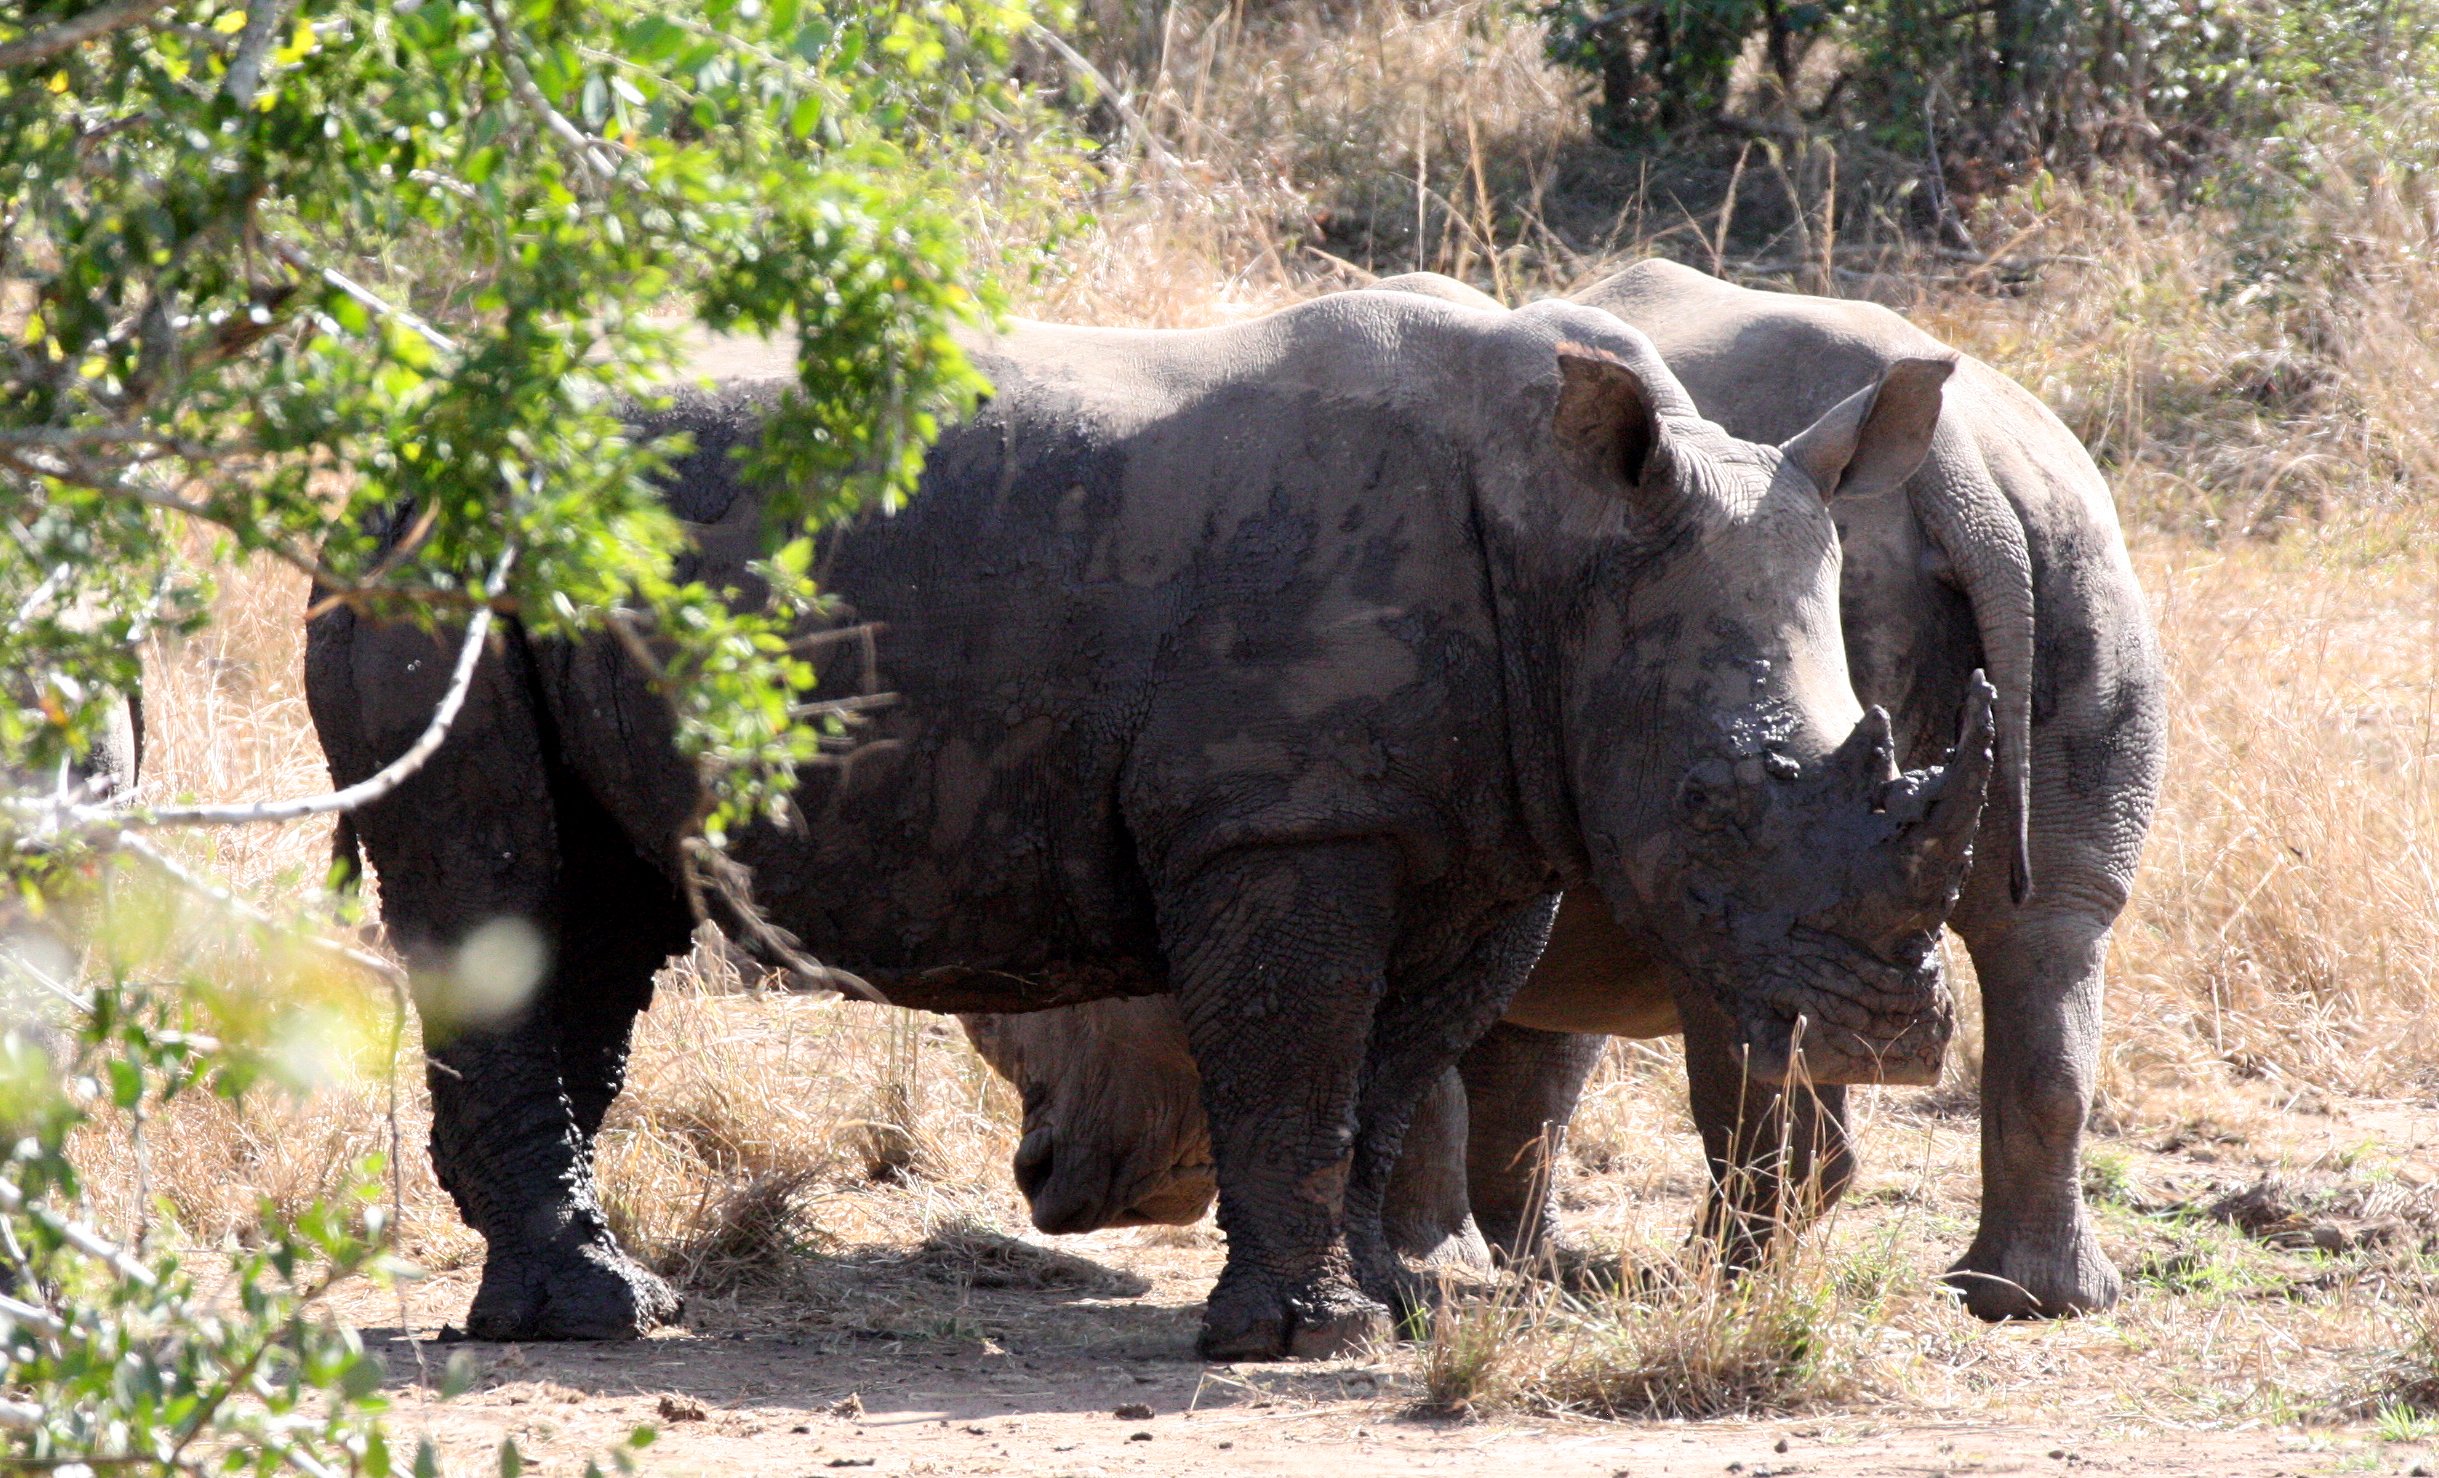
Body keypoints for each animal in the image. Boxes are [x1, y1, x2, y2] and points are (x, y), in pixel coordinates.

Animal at [305, 287, 1997, 1358]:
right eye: (1714, 807)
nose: (1890, 1041)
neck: (1566, 543)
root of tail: (382, 461)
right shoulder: (1280, 818)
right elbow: (1297, 1051)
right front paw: (1298, 1338)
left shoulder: (1487, 831)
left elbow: (1390, 1069)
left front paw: (1387, 1310)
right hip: (441, 559)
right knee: (501, 875)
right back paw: (590, 1320)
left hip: (539, 563)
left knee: (591, 912)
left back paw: (603, 1302)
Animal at [960, 259, 2168, 1321]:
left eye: (1064, 1033)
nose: (1049, 1183)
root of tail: (1967, 477)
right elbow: (1524, 1081)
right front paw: (1515, 1260)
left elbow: (1448, 1080)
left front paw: (1436, 1264)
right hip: (2074, 539)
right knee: (2047, 925)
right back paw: (2015, 1299)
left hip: (1858, 615)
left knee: (1761, 967)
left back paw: (1711, 1287)